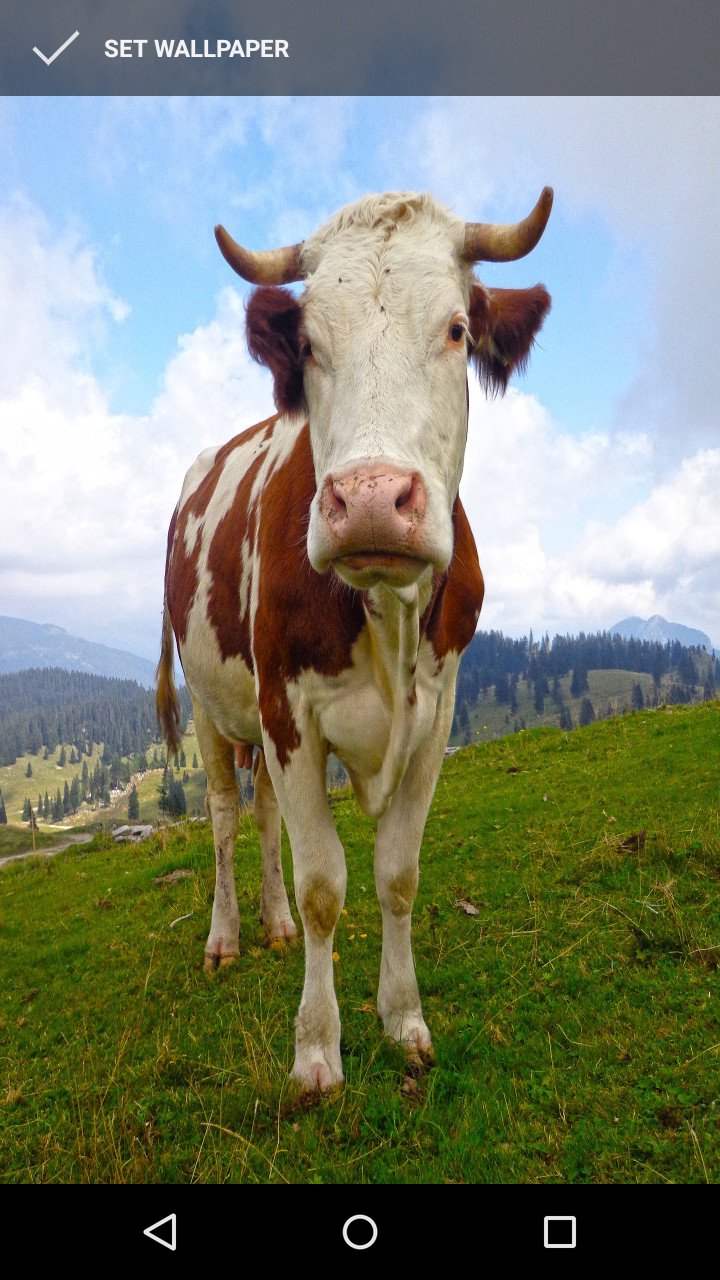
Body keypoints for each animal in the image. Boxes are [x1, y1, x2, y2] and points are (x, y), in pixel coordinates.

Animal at [156, 188, 552, 1091]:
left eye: (456, 328)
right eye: (307, 343)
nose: (371, 499)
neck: (386, 613)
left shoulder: (436, 713)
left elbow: (397, 875)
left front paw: (402, 1019)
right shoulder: (290, 713)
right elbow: (324, 887)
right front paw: (316, 1049)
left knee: (263, 814)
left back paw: (269, 925)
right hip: (211, 704)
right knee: (226, 817)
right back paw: (227, 936)